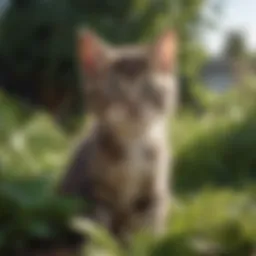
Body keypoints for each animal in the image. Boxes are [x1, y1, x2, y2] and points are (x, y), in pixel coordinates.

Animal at [58, 29, 178, 242]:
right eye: (115, 91)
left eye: (149, 90)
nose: (133, 108)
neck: (133, 145)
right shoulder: (92, 192)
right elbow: (97, 226)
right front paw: (99, 244)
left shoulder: (153, 191)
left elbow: (148, 227)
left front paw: (148, 242)